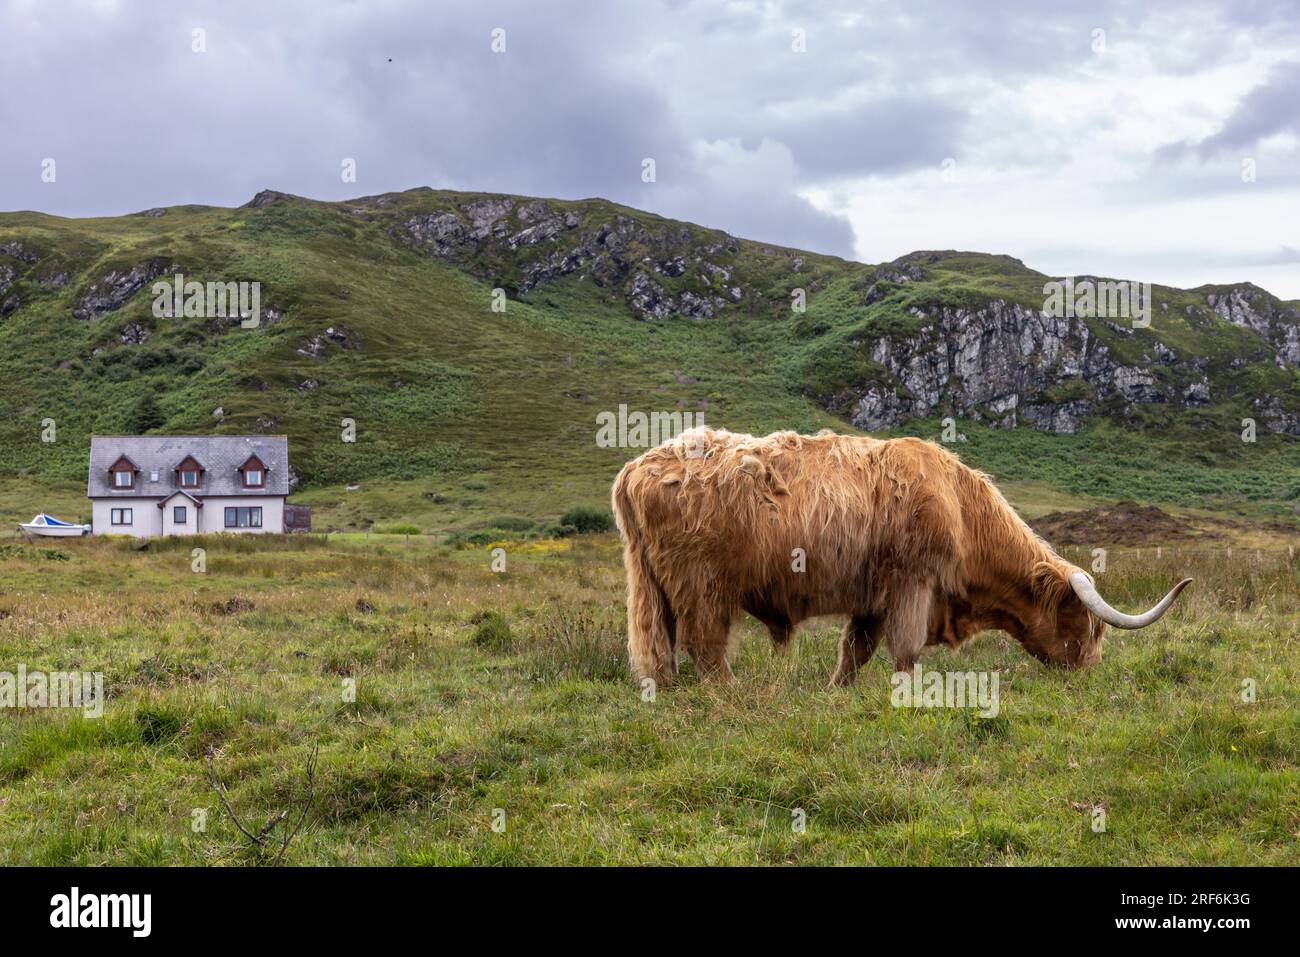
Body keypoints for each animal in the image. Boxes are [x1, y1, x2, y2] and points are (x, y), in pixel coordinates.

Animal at [611, 426, 1191, 687]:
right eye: (1090, 627)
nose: (1089, 672)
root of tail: (639, 465)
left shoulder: (873, 597)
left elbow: (855, 650)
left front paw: (838, 691)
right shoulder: (913, 583)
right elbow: (905, 651)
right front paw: (908, 693)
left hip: (650, 585)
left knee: (658, 648)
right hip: (701, 585)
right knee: (704, 646)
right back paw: (732, 693)